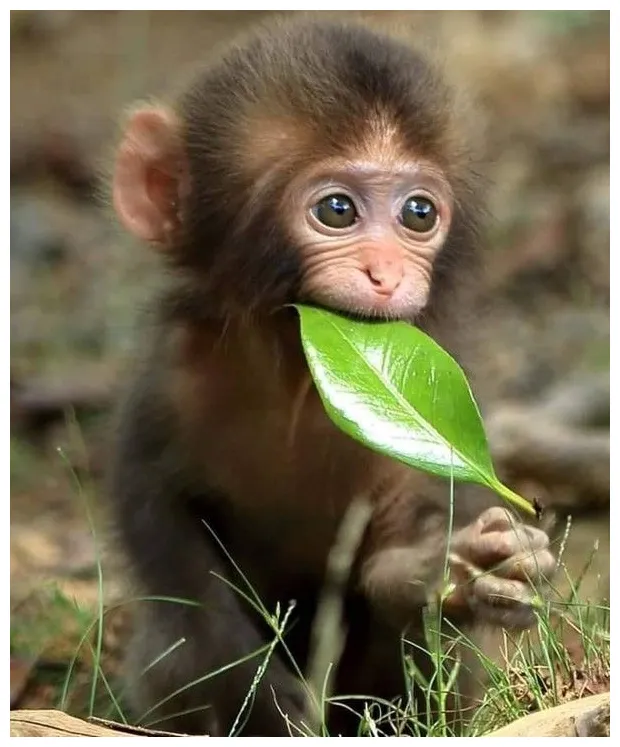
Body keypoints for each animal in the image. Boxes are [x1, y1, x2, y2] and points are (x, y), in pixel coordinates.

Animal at [108, 18, 556, 737]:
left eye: (419, 214)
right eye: (338, 210)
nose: (387, 273)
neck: (300, 366)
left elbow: (391, 563)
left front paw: (462, 570)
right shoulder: (171, 377)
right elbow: (169, 548)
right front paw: (258, 692)